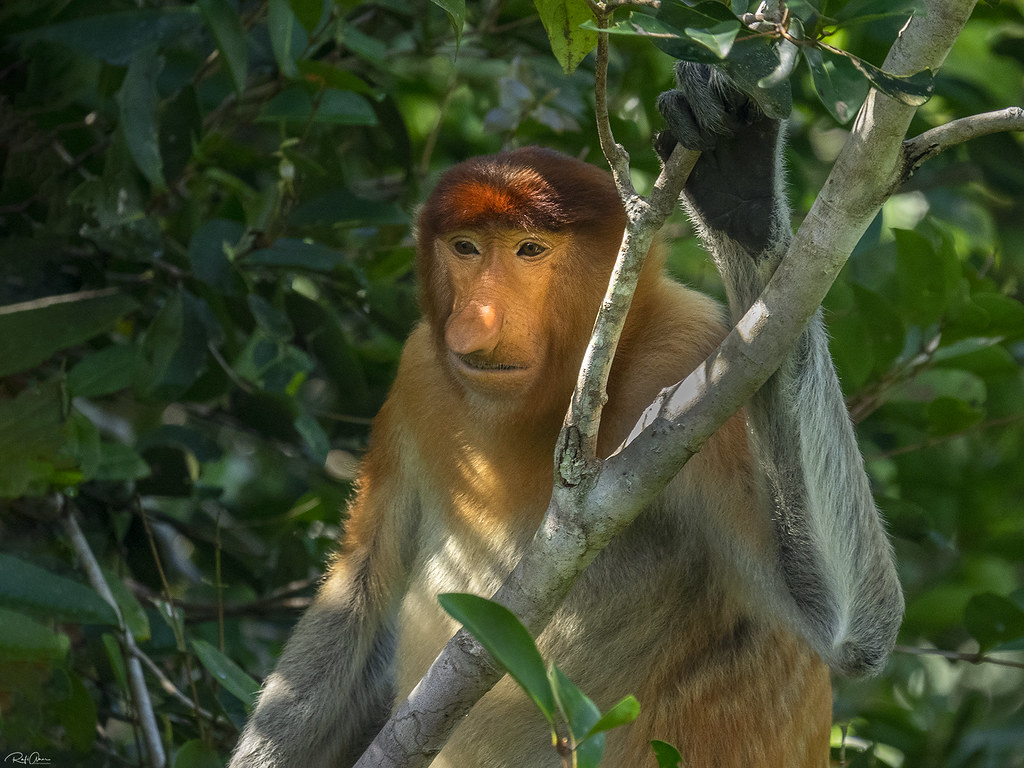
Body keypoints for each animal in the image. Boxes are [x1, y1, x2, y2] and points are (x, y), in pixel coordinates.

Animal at [229, 61, 904, 768]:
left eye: (529, 250)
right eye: (466, 248)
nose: (476, 323)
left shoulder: (691, 357)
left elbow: (852, 625)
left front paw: (741, 186)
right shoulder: (420, 376)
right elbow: (359, 599)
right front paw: (730, 178)